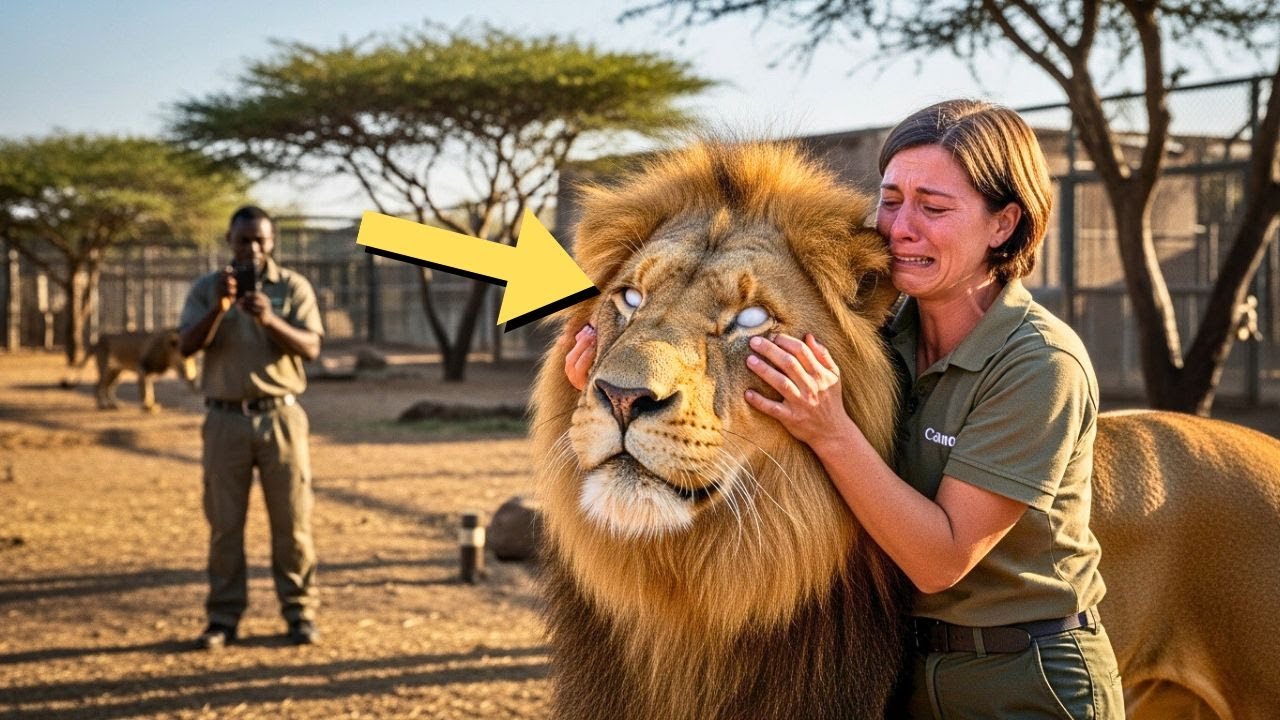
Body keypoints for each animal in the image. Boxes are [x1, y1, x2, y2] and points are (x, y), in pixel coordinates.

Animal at [62, 329, 199, 412]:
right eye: (183, 360)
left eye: (193, 361)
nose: (191, 375)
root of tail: (96, 340)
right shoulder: (141, 367)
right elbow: (145, 389)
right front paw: (147, 407)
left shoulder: (148, 372)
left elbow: (150, 389)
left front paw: (152, 405)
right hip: (105, 367)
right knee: (98, 385)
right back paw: (102, 405)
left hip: (116, 372)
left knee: (109, 387)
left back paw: (114, 405)